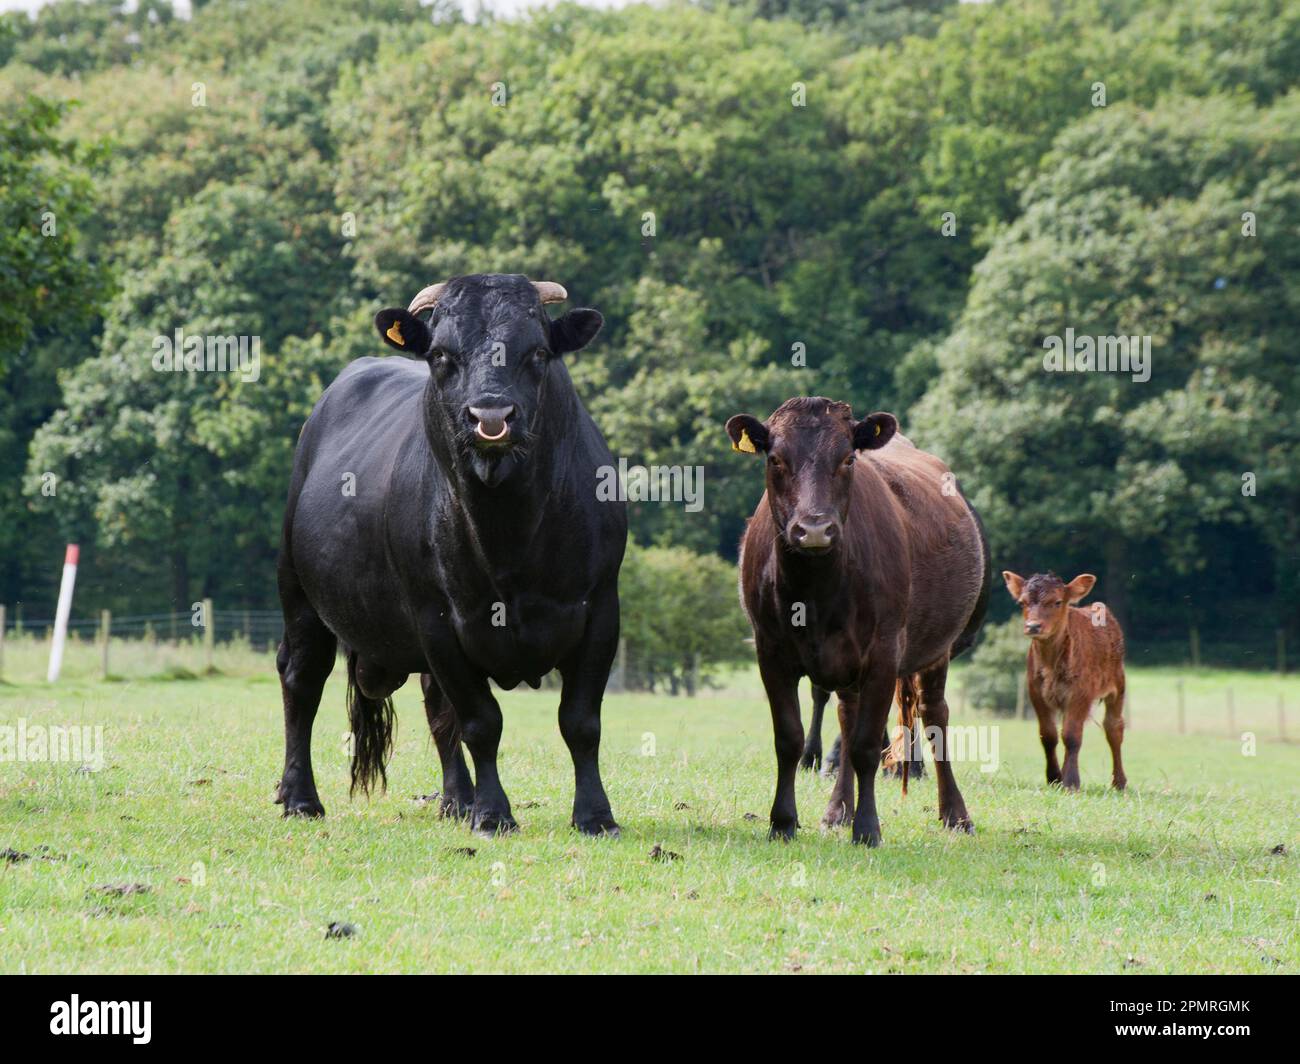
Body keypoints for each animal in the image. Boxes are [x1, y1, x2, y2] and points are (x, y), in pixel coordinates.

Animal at [273, 273, 627, 837]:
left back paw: (456, 800)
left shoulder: (600, 608)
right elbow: (481, 722)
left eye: (538, 352)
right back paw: (300, 797)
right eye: (441, 355)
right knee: (301, 681)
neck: (509, 533)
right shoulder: (437, 618)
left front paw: (595, 816)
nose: (491, 417)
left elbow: (580, 721)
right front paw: (494, 814)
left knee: (438, 713)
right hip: (299, 594)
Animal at [727, 397, 989, 846]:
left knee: (934, 714)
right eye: (775, 459)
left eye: (848, 458)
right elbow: (789, 738)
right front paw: (783, 821)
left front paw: (867, 828)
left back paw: (955, 813)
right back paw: (837, 810)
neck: (815, 588)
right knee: (847, 717)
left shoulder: (885, 652)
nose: (814, 529)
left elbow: (868, 744)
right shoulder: (770, 651)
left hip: (936, 650)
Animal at [1001, 571, 1127, 791]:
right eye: (1022, 602)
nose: (1033, 626)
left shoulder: (1081, 693)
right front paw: (1053, 777)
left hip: (1118, 684)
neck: (1051, 663)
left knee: (1114, 727)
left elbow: (1071, 735)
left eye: (1057, 602)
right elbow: (1048, 735)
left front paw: (1071, 781)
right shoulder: (1035, 692)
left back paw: (1119, 781)